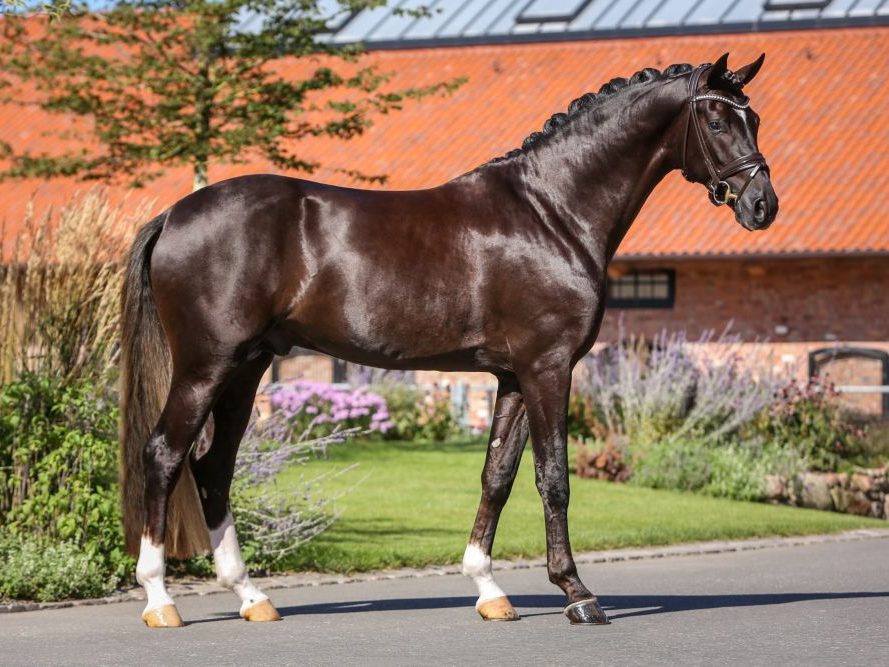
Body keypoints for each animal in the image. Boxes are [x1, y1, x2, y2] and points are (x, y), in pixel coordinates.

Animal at [120, 53, 778, 628]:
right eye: (718, 120)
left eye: (755, 119)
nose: (762, 205)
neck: (551, 212)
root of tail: (175, 214)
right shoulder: (548, 367)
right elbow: (554, 478)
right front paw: (577, 594)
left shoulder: (513, 375)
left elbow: (498, 476)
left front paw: (489, 589)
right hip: (206, 366)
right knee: (165, 455)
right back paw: (159, 600)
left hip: (247, 367)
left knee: (213, 467)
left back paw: (251, 597)